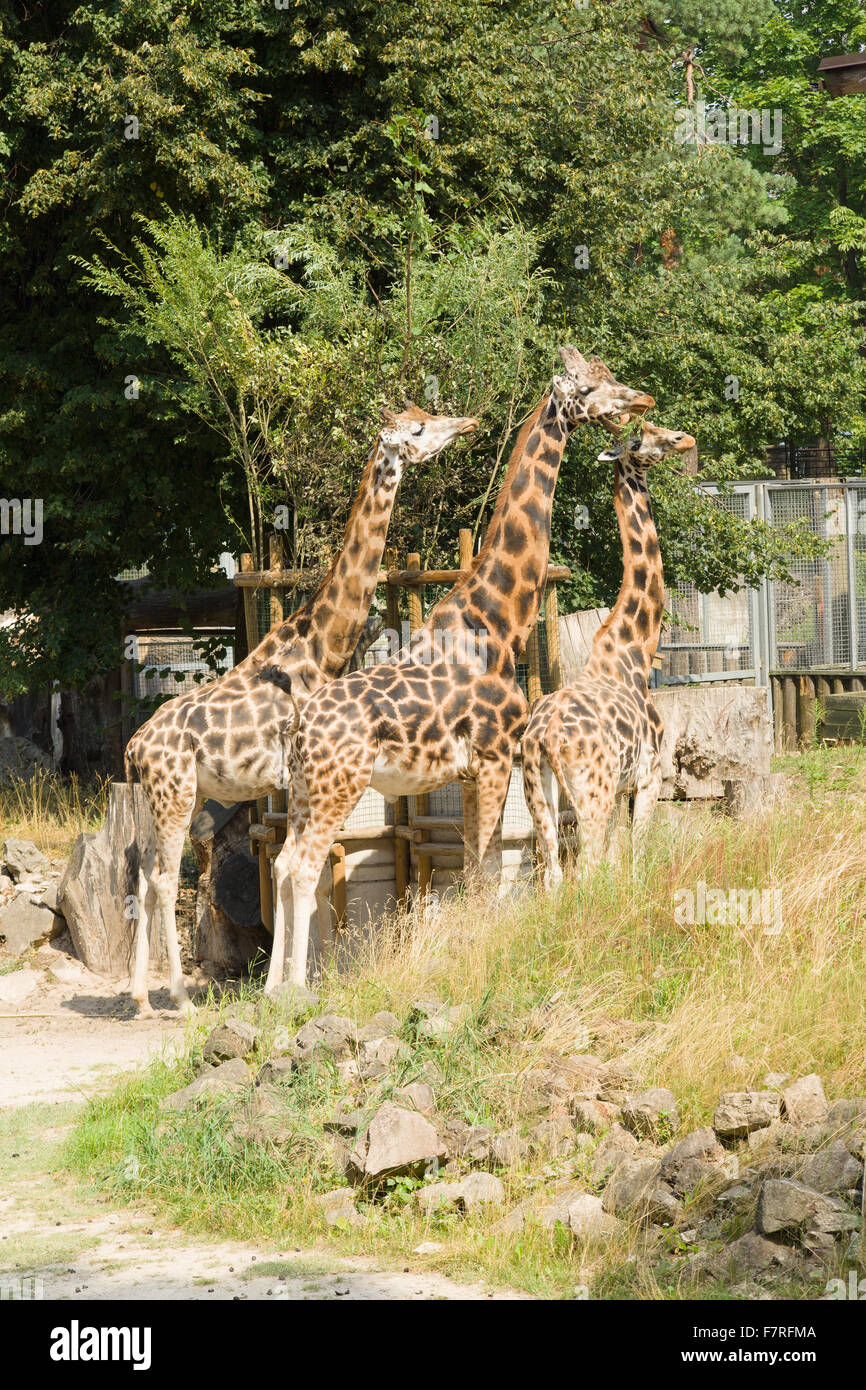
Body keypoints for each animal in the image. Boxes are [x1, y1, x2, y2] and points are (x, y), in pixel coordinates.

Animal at [123, 402, 478, 1014]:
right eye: (417, 429)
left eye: (425, 414)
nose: (466, 425)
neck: (318, 646)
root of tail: (134, 747)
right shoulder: (304, 776)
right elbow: (297, 868)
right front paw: (302, 980)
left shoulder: (294, 780)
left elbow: (286, 867)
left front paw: (281, 984)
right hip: (176, 794)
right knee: (167, 879)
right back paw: (180, 997)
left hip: (153, 800)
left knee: (145, 878)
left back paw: (142, 998)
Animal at [266, 347, 655, 989]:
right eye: (589, 385)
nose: (643, 399)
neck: (498, 620)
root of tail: (299, 726)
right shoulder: (497, 755)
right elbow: (486, 870)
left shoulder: (472, 773)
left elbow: (480, 867)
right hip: (336, 786)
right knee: (301, 865)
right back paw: (295, 991)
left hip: (302, 789)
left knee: (279, 863)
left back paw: (274, 986)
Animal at [521, 420, 695, 888]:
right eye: (639, 439)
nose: (685, 440)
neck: (633, 651)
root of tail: (545, 737)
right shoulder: (648, 777)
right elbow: (633, 859)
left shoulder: (620, 788)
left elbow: (617, 863)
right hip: (589, 790)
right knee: (584, 869)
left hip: (536, 790)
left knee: (554, 875)